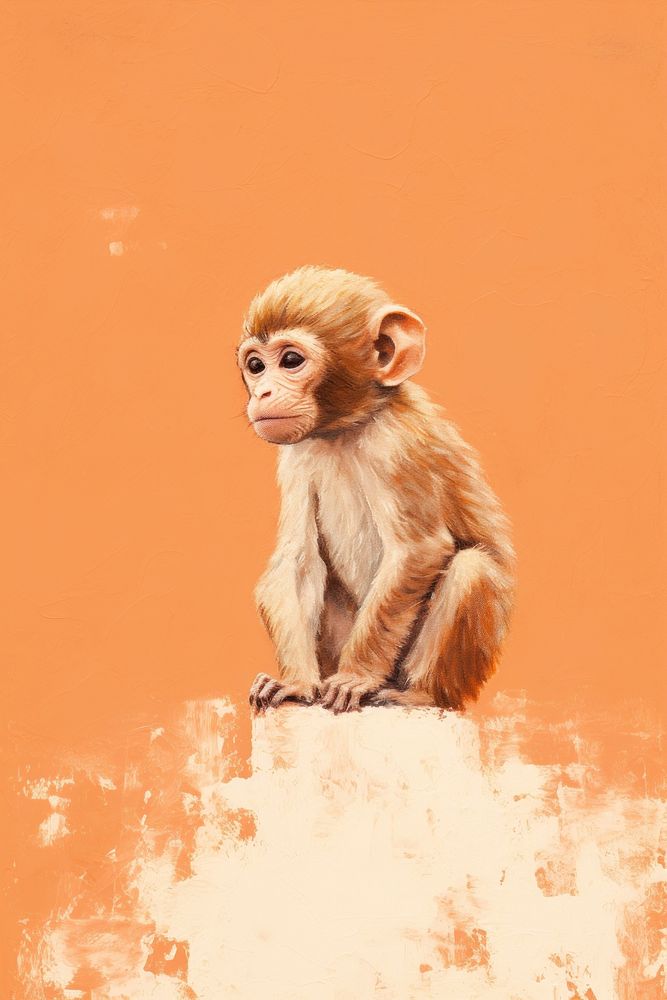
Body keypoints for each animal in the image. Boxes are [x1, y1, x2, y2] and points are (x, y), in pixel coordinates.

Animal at [238, 266, 515, 714]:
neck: (347, 427)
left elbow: (419, 551)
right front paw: (295, 683)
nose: (263, 392)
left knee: (472, 569)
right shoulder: (295, 456)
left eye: (291, 361)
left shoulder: (398, 447)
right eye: (256, 365)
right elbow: (297, 562)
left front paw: (356, 676)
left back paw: (419, 693)